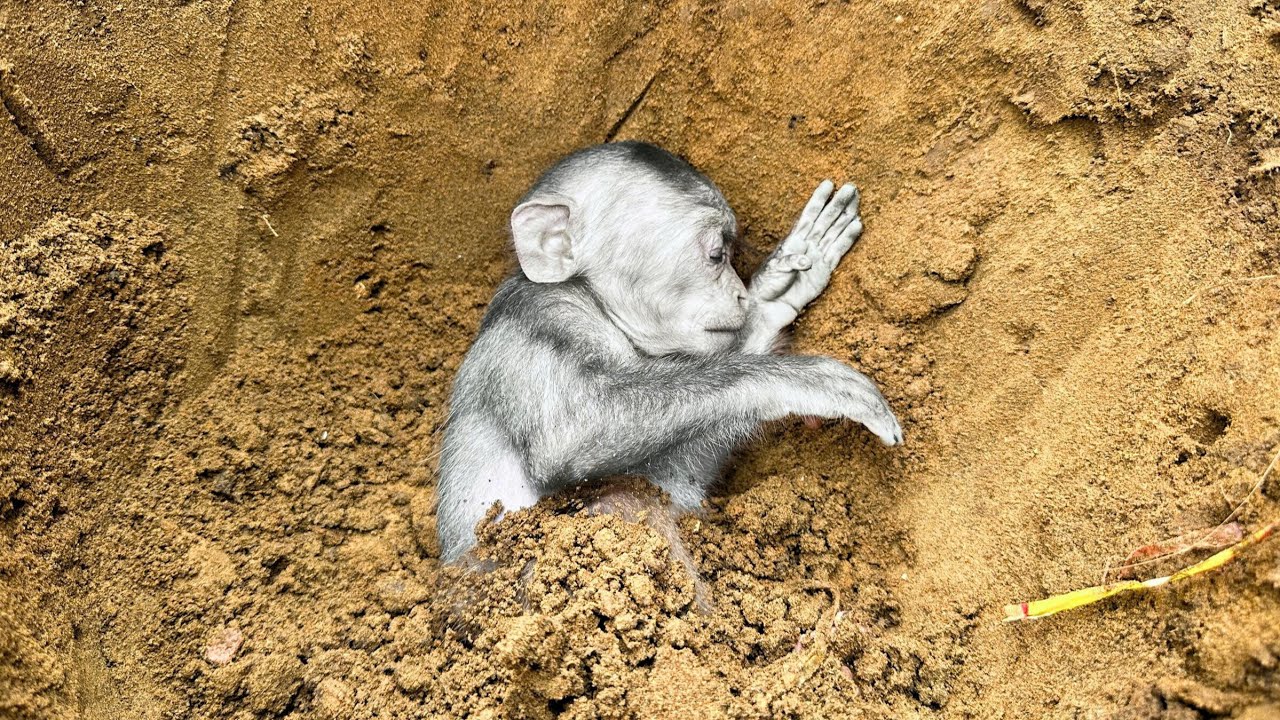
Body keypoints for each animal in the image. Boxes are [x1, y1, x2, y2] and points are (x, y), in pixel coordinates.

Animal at [435, 141, 902, 564]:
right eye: (716, 254)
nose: (739, 294)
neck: (602, 308)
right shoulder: (540, 317)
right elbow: (570, 430)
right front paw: (805, 380)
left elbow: (676, 476)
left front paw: (773, 297)